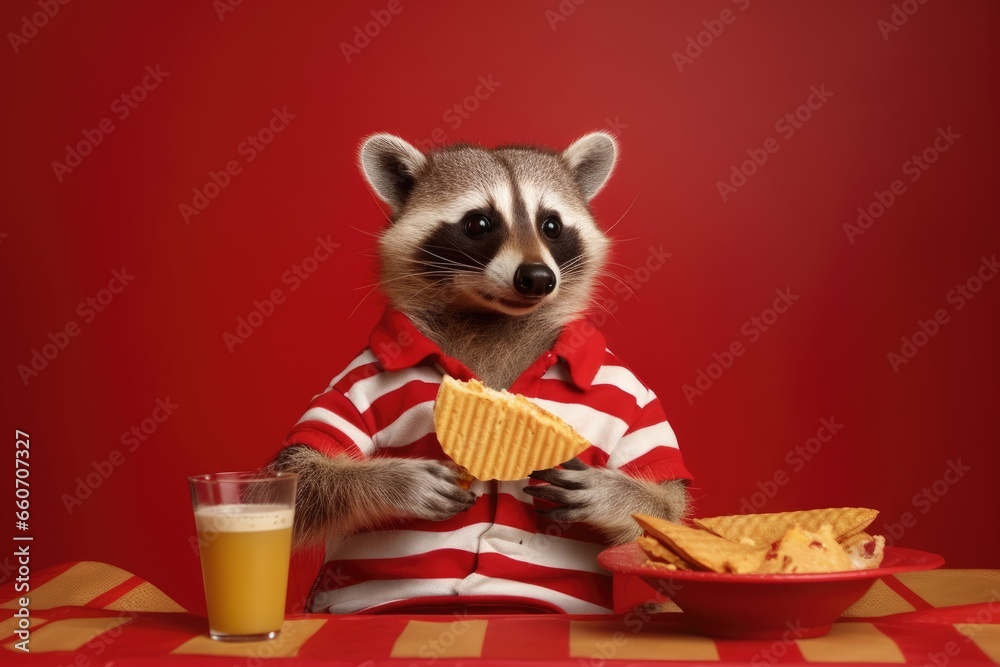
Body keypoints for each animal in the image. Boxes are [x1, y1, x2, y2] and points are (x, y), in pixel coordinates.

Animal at [271, 132, 691, 613]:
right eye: (478, 224)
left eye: (551, 226)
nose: (537, 277)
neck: (494, 317)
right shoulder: (354, 378)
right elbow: (299, 479)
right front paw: (395, 479)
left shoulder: (632, 387)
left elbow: (669, 513)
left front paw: (612, 493)